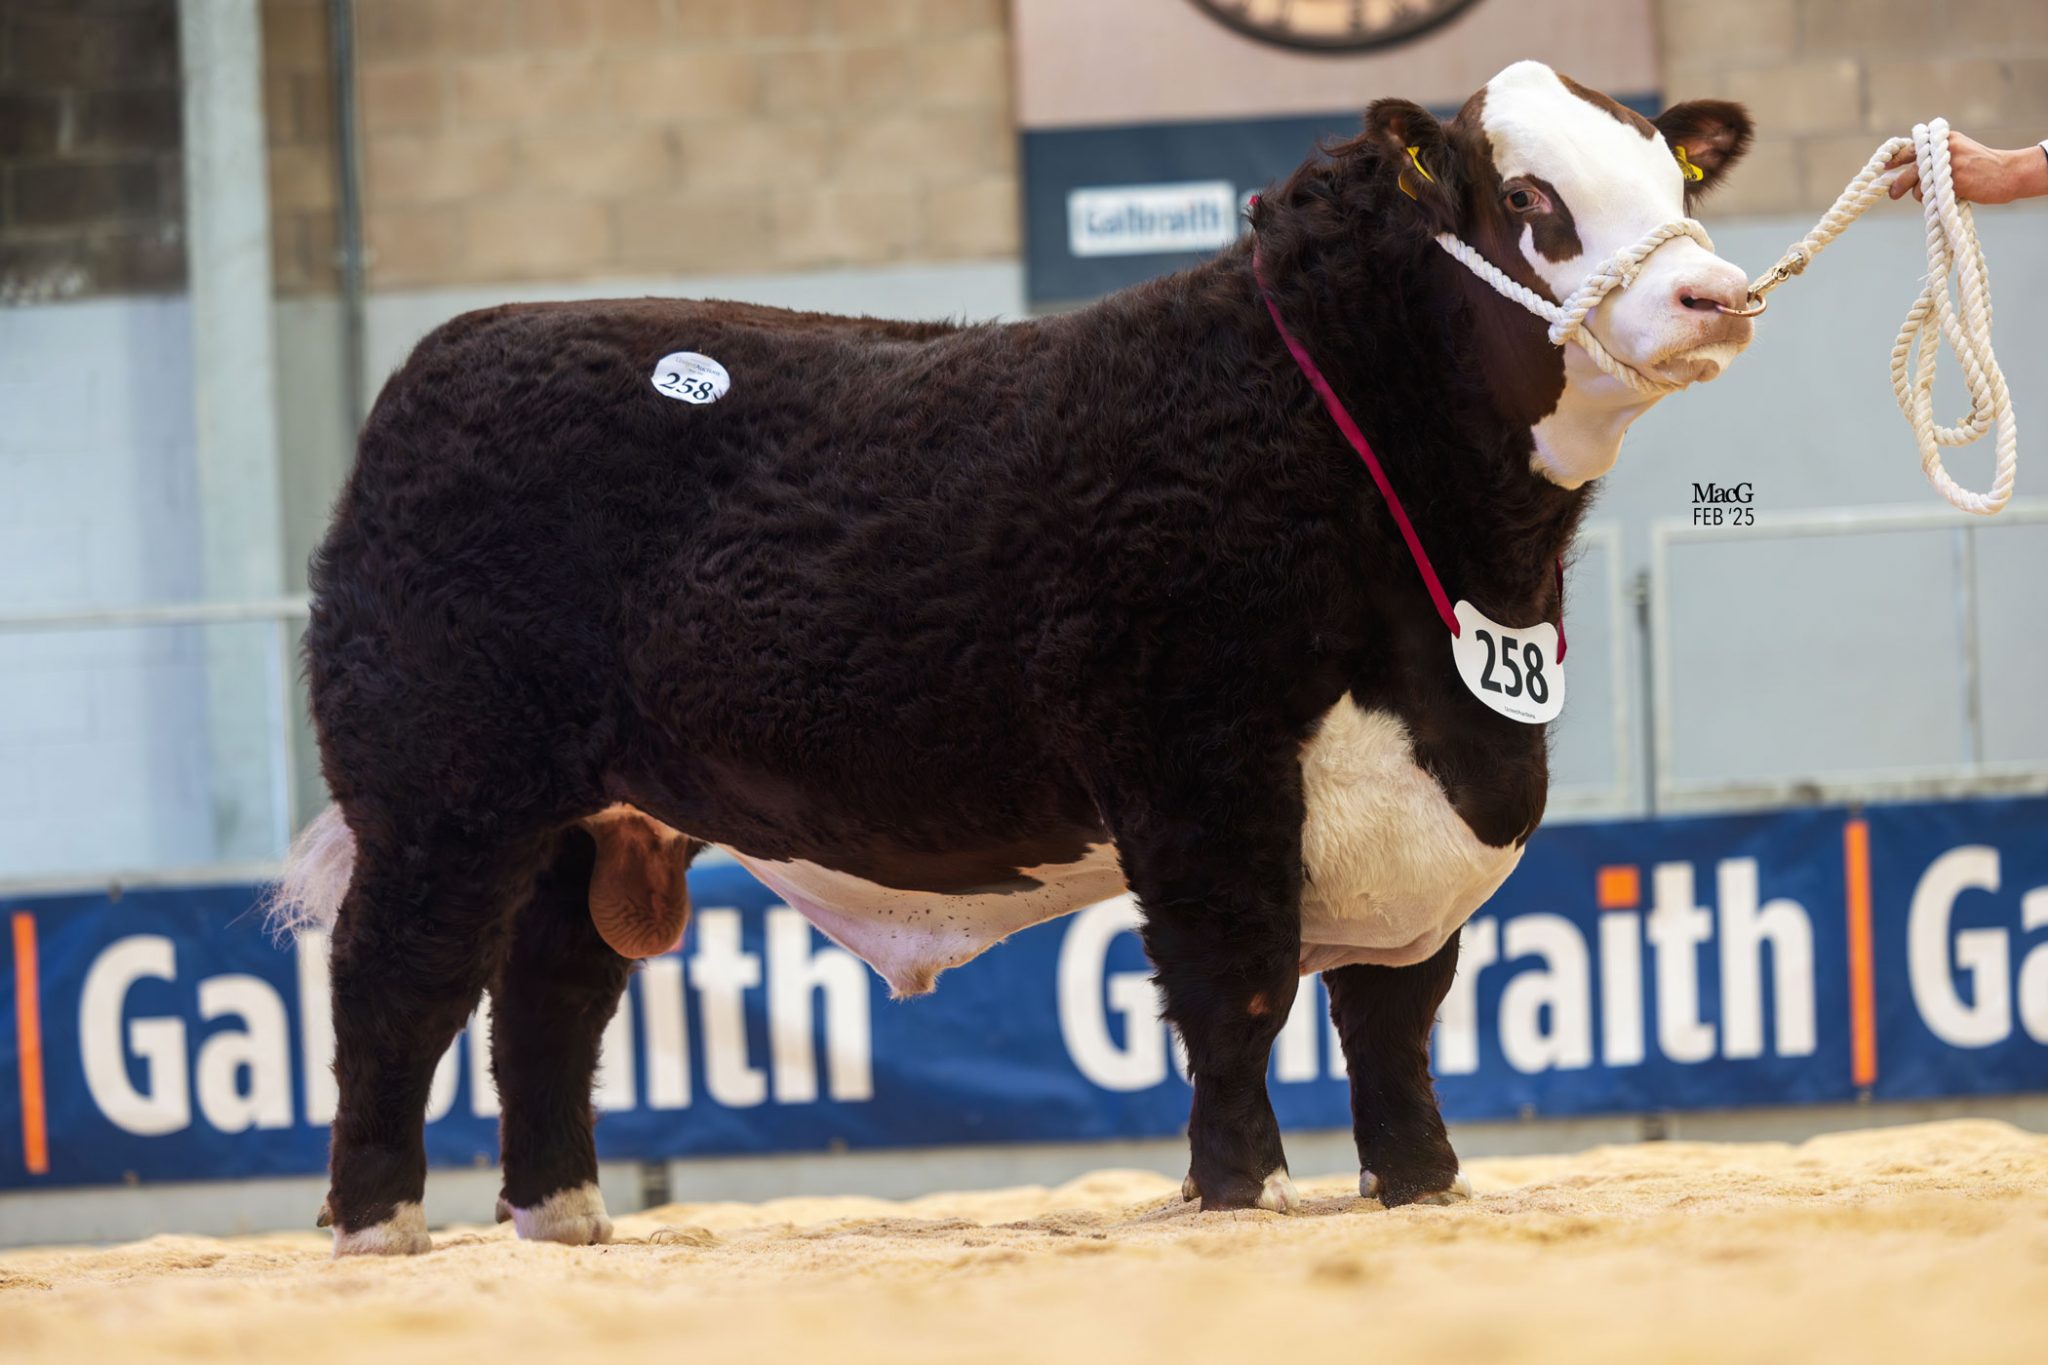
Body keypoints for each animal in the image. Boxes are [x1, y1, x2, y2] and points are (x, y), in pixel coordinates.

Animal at [271, 60, 1756, 1255]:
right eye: (1531, 199)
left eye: (1664, 174)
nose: (1716, 292)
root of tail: (455, 349)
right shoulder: (1197, 762)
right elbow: (1237, 979)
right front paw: (1243, 1188)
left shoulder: (1432, 789)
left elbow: (1397, 1016)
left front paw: (1422, 1185)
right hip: (441, 788)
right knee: (396, 982)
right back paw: (377, 1225)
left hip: (593, 815)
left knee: (546, 995)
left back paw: (563, 1219)